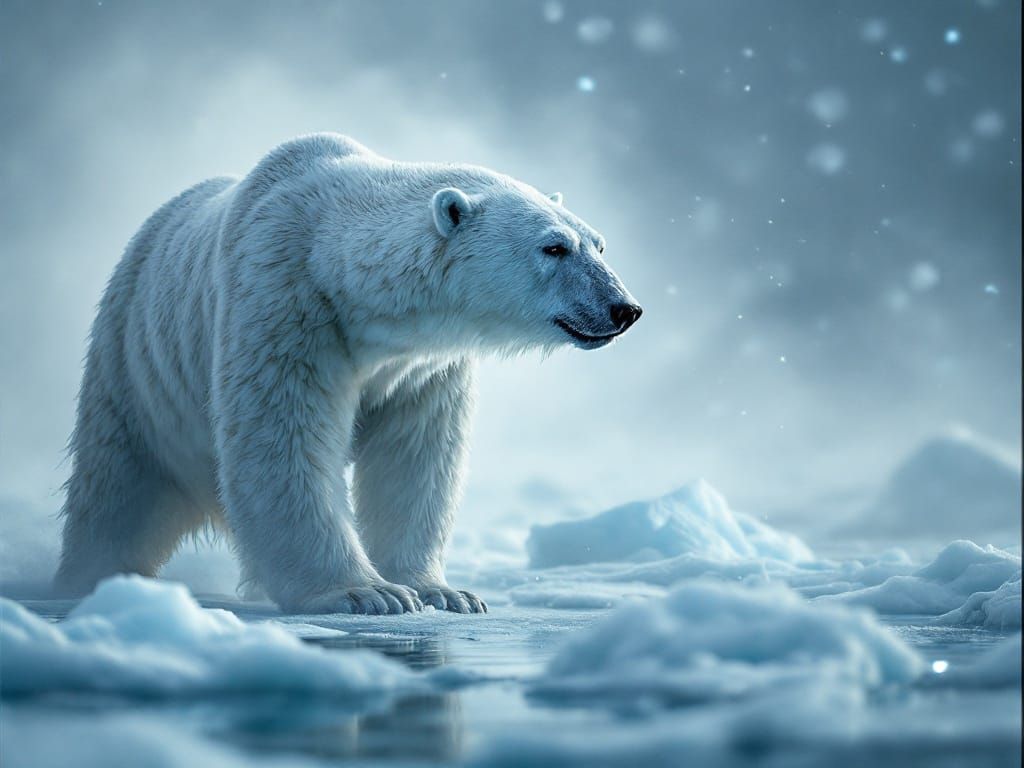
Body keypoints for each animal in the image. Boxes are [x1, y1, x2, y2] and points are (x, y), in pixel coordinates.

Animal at [54, 133, 642, 614]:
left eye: (598, 243)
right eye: (553, 246)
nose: (624, 308)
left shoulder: (424, 366)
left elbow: (416, 460)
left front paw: (443, 592)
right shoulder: (282, 304)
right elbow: (283, 442)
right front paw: (364, 594)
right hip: (135, 364)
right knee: (118, 487)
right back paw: (92, 579)